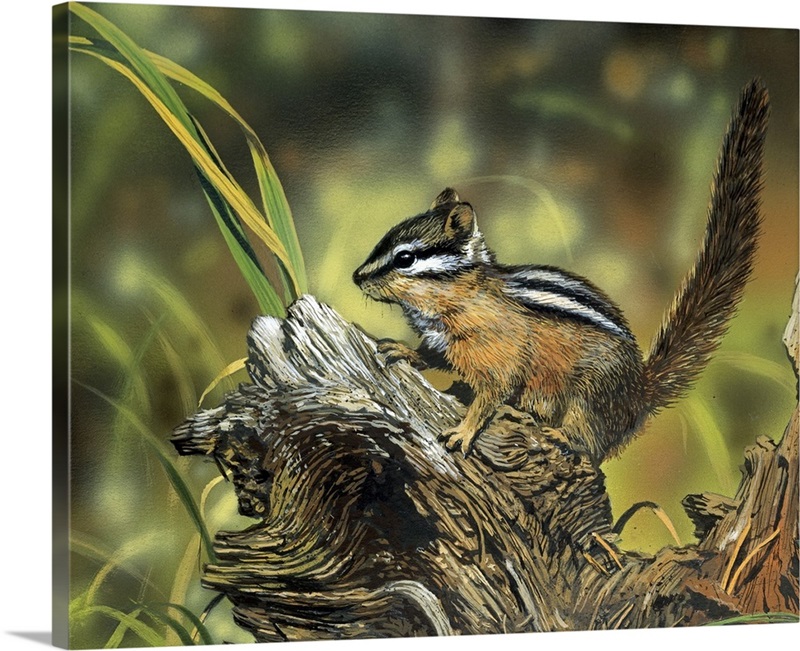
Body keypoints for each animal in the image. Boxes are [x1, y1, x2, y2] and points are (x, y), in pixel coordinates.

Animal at [352, 80, 770, 463]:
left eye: (405, 258)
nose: (356, 277)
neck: (463, 298)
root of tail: (638, 393)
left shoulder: (498, 355)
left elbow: (490, 396)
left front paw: (464, 432)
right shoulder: (444, 342)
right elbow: (432, 355)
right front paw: (404, 350)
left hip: (590, 396)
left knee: (592, 446)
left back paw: (560, 436)